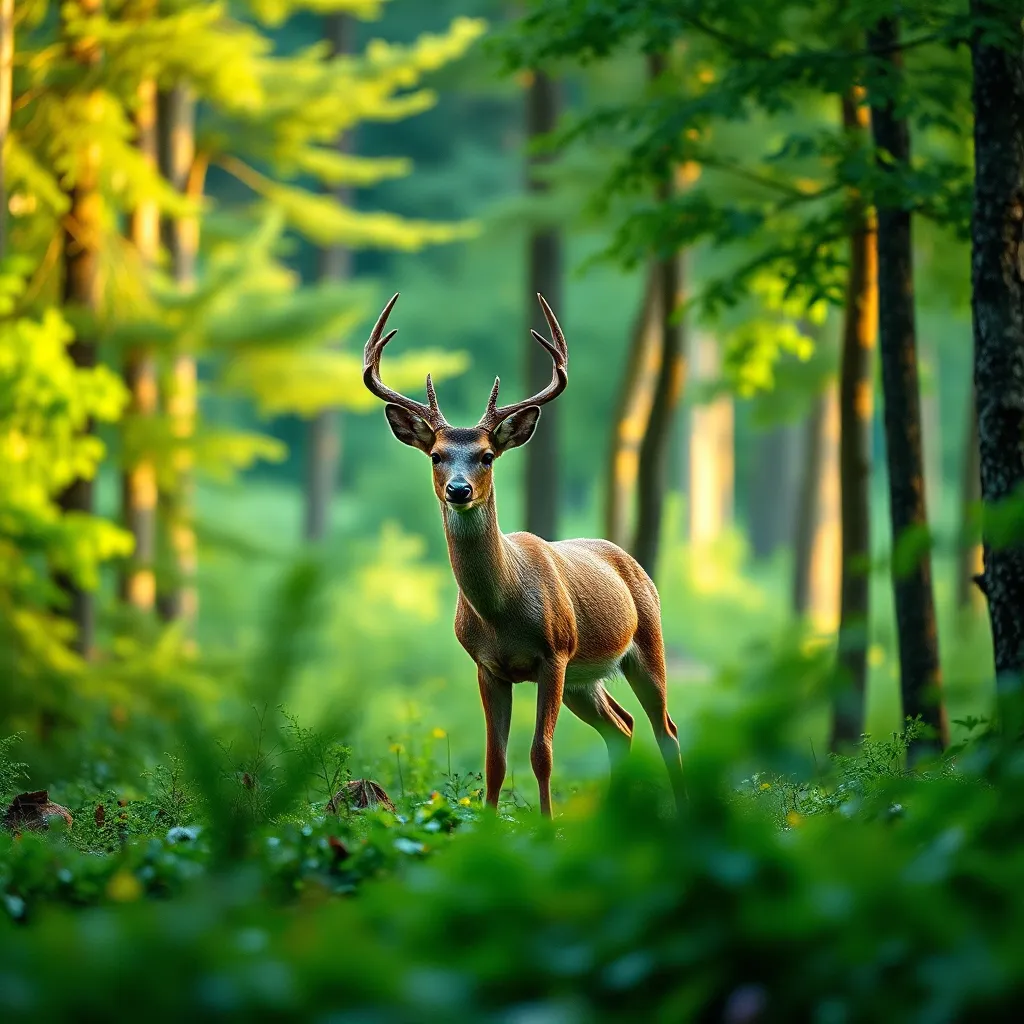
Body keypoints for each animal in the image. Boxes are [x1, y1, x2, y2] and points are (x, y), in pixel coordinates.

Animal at [363, 293, 684, 818]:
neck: (503, 611)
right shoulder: (487, 666)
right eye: (436, 455)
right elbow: (495, 758)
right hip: (585, 679)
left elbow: (541, 752)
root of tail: (630, 561)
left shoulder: (554, 654)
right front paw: (488, 824)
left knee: (667, 729)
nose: (458, 489)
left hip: (646, 645)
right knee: (622, 726)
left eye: (487, 456)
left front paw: (547, 825)